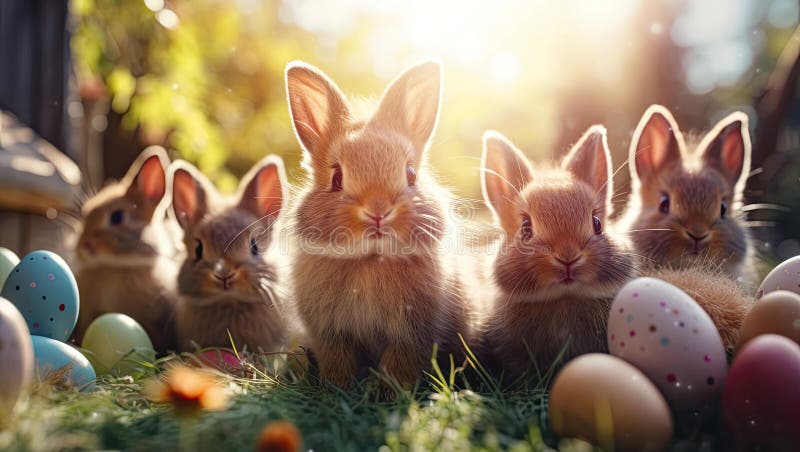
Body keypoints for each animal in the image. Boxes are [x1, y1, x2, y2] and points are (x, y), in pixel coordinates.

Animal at [285, 59, 477, 389]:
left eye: (411, 174)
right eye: (336, 178)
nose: (378, 211)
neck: (371, 259)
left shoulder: (412, 335)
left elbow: (398, 365)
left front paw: (387, 394)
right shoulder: (330, 335)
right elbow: (338, 362)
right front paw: (339, 389)